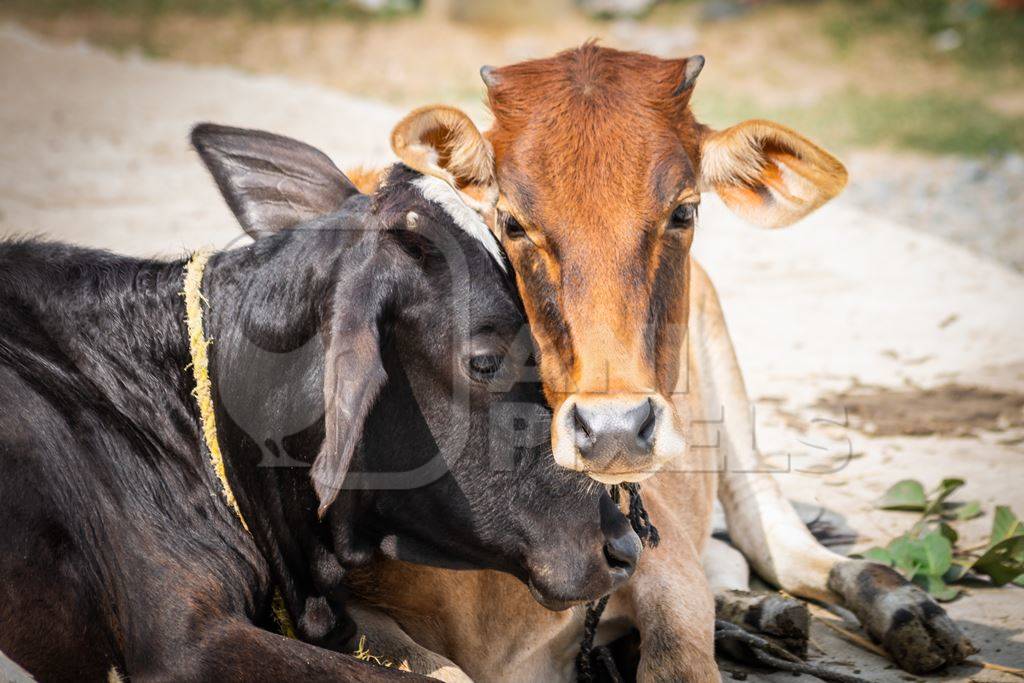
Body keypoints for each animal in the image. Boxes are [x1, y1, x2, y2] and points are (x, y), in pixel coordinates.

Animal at [335, 45, 975, 680]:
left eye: (684, 212)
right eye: (511, 221)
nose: (614, 430)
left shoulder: (664, 565)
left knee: (779, 546)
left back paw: (902, 611)